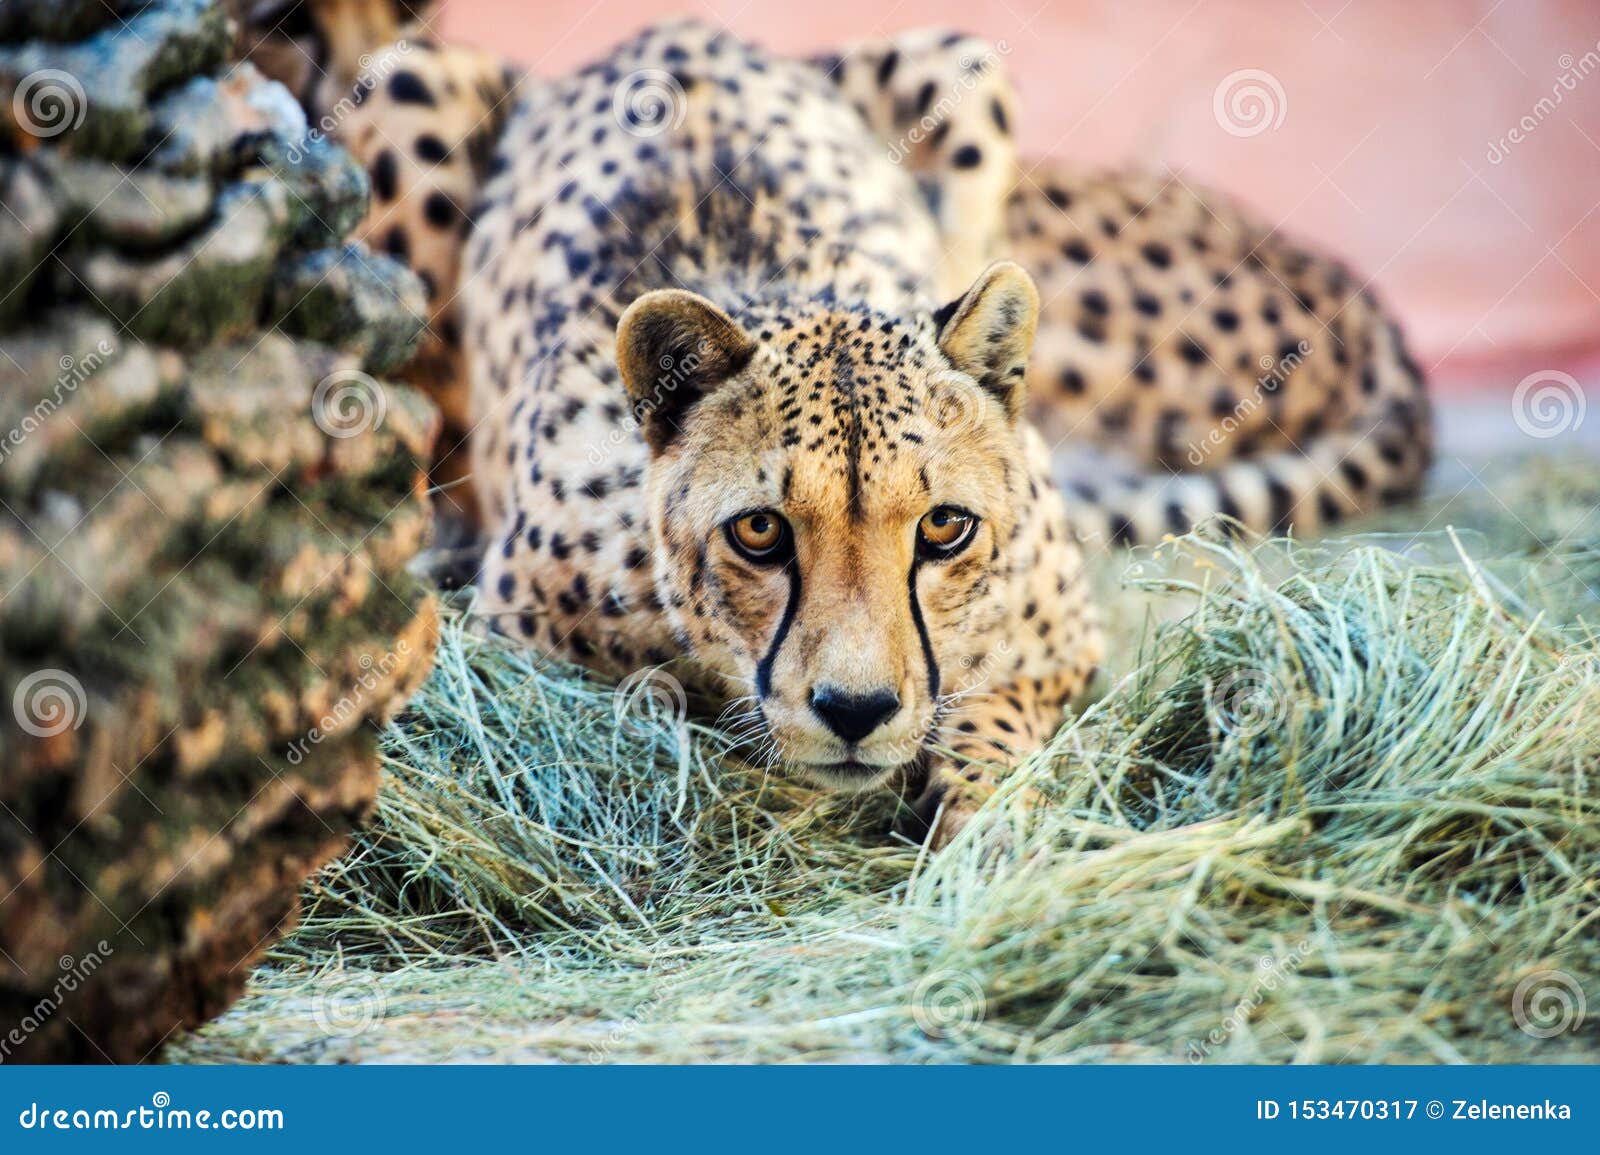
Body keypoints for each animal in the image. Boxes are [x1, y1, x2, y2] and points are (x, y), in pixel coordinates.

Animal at [246, 10, 1432, 846]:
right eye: (760, 532)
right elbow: (641, 701)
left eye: (945, 529)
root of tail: (670, 28)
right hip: (404, 85)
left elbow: (988, 714)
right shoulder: (527, 638)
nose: (855, 708)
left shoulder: (1058, 634)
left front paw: (981, 819)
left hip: (961, 69)